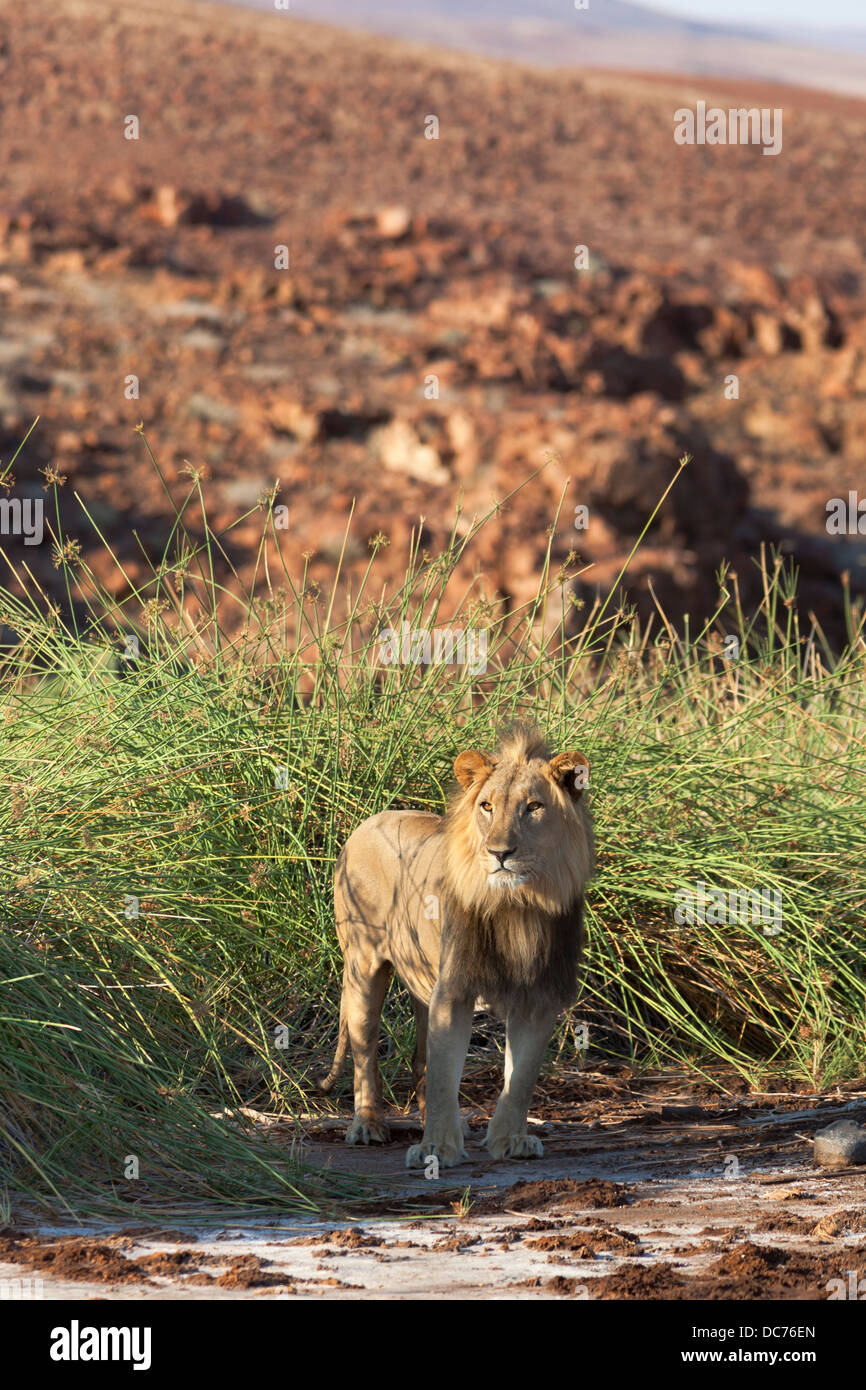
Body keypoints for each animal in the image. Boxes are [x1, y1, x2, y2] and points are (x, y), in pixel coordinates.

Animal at [320, 724, 594, 1168]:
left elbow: (519, 1078)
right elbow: (445, 1074)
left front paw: (510, 1139)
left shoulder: (537, 995)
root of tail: (369, 821)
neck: (517, 905)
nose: (500, 853)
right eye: (486, 806)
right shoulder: (454, 989)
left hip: (420, 980)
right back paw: (367, 1126)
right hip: (362, 966)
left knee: (420, 1059)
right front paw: (436, 1148)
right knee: (365, 1052)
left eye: (534, 807)